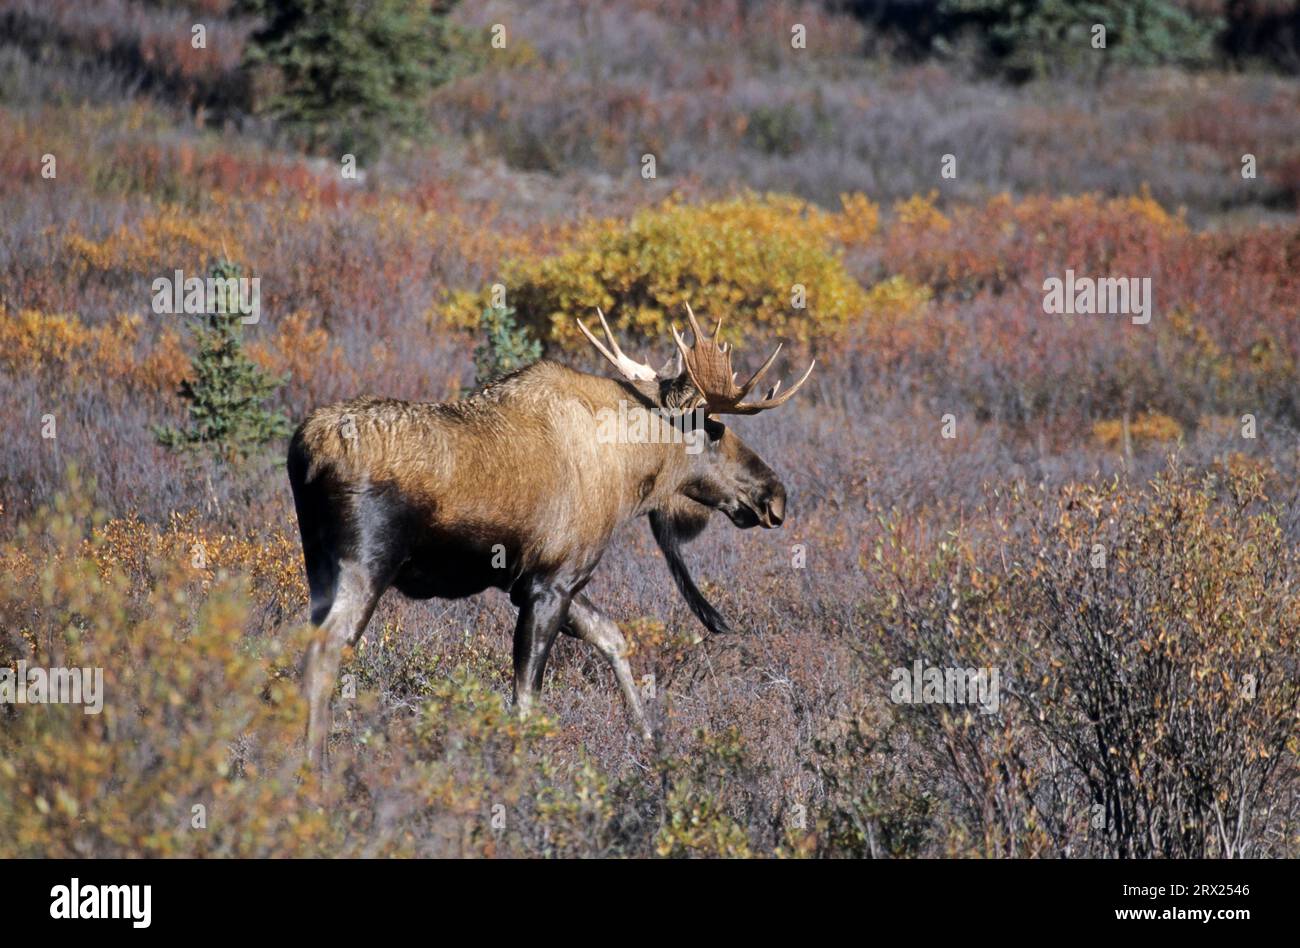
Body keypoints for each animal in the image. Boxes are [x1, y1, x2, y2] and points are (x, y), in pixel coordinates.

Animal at [287, 304, 814, 763]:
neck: (628, 470)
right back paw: (315, 772)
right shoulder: (551, 582)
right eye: (716, 429)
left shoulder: (536, 582)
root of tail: (305, 450)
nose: (776, 496)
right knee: (325, 651)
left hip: (318, 564)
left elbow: (612, 637)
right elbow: (526, 700)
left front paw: (647, 736)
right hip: (366, 563)